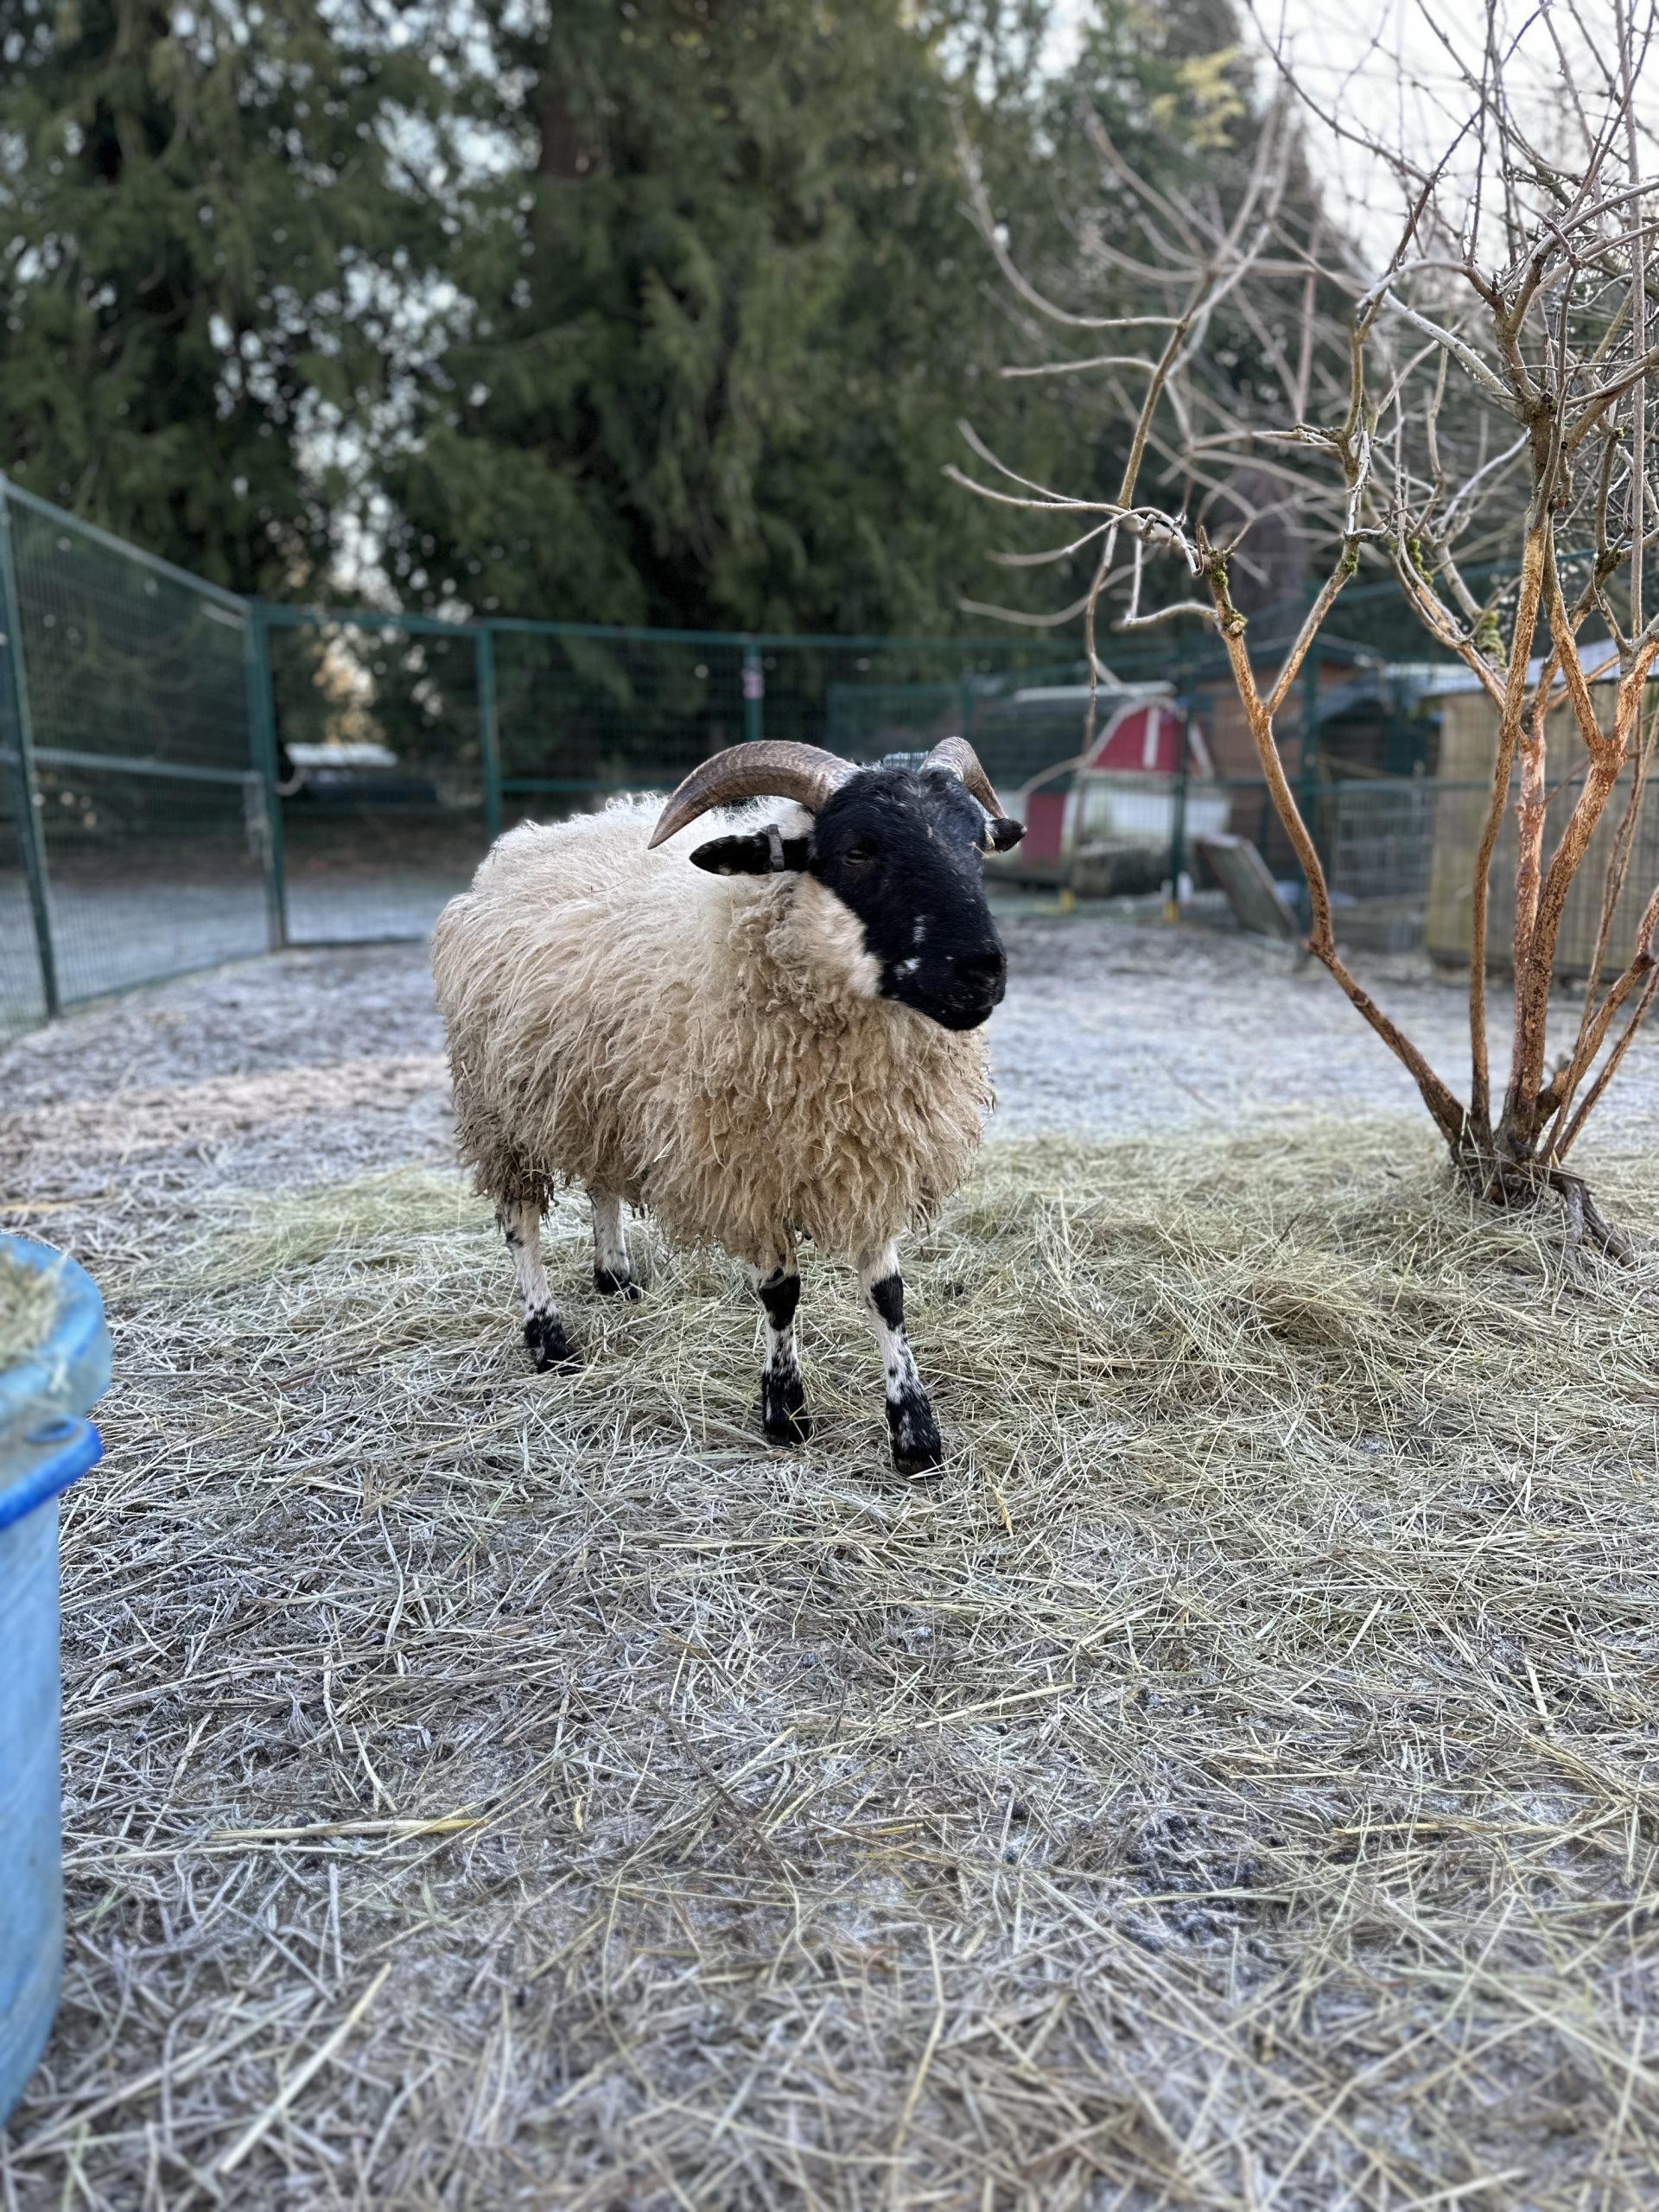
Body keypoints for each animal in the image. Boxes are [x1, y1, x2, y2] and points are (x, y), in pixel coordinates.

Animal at [430, 735, 1024, 1471]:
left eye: (976, 843)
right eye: (858, 850)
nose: (982, 970)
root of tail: (545, 835)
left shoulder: (871, 1157)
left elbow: (887, 1294)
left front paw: (914, 1431)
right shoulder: (751, 1168)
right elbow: (781, 1291)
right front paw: (784, 1411)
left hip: (601, 1092)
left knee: (601, 1181)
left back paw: (615, 1276)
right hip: (500, 1109)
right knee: (519, 1224)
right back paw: (547, 1339)